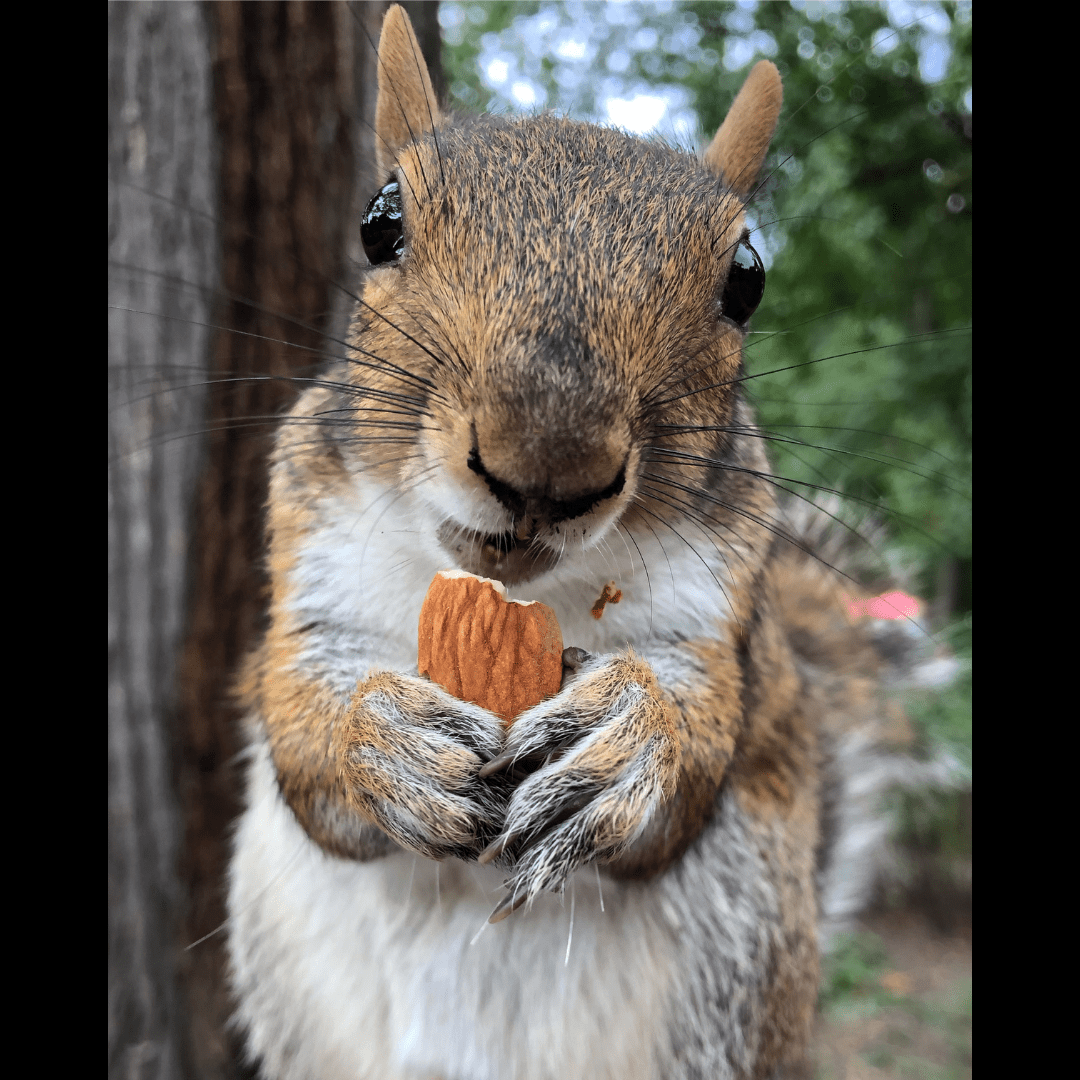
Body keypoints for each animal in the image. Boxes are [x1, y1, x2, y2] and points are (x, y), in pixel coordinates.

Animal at [227, 7, 939, 1079]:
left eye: (748, 279)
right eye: (379, 222)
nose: (544, 471)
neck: (517, 594)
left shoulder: (718, 610)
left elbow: (698, 732)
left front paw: (628, 742)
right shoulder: (312, 549)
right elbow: (297, 709)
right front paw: (377, 735)